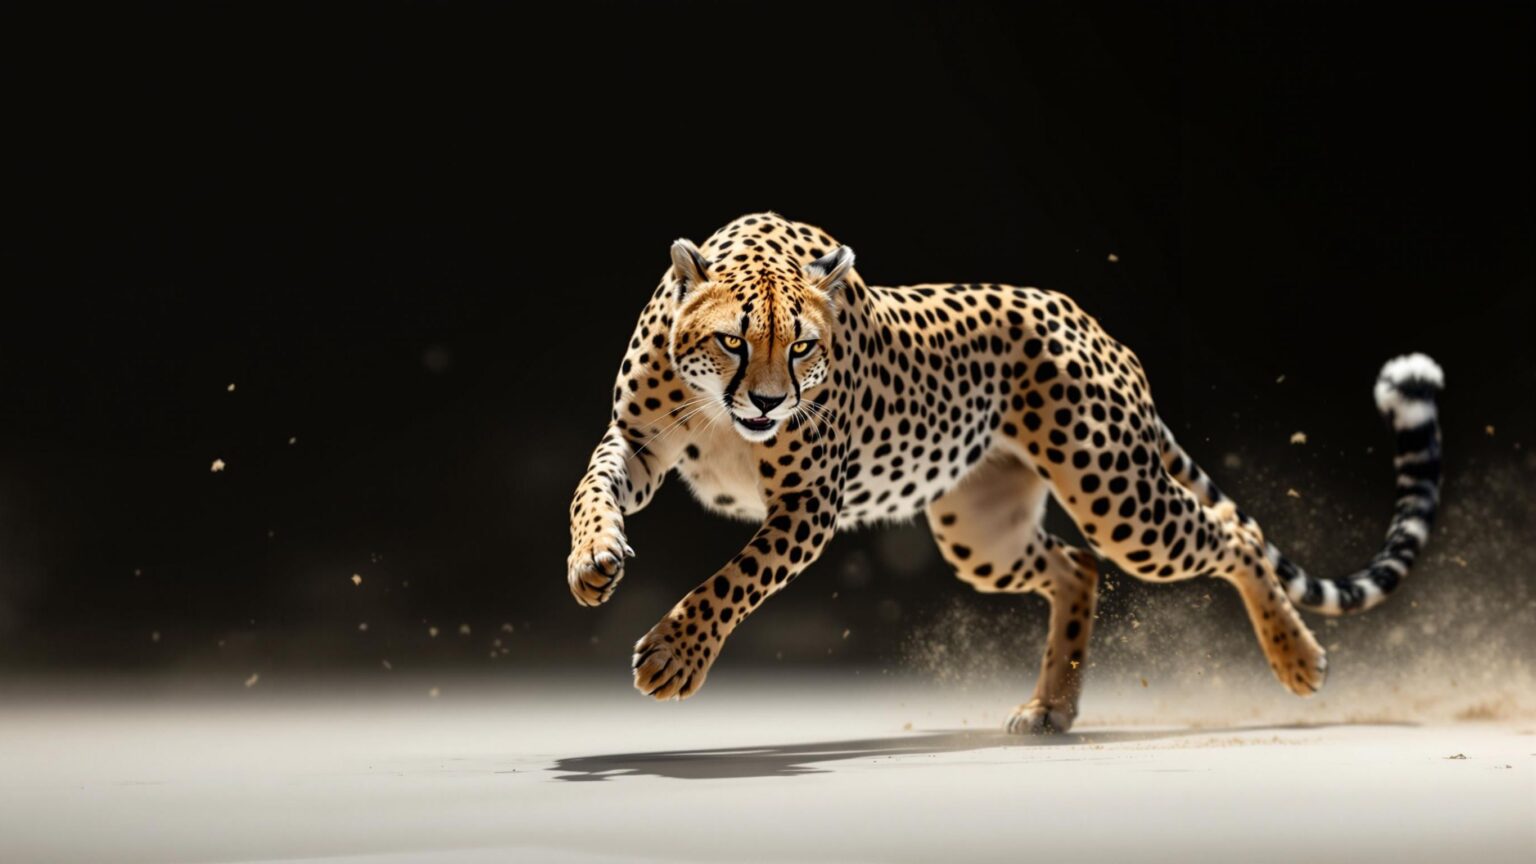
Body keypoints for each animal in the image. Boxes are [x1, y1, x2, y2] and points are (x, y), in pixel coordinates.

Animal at [566, 211, 1444, 733]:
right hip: (981, 533)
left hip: (1117, 495)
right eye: (733, 341)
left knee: (1232, 533)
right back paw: (1053, 706)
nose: (770, 402)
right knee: (1075, 565)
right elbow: (592, 490)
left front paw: (675, 655)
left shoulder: (810, 503)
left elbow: (734, 580)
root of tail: (1089, 321)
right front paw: (594, 560)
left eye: (804, 346)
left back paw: (1297, 658)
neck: (720, 411)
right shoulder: (638, 443)